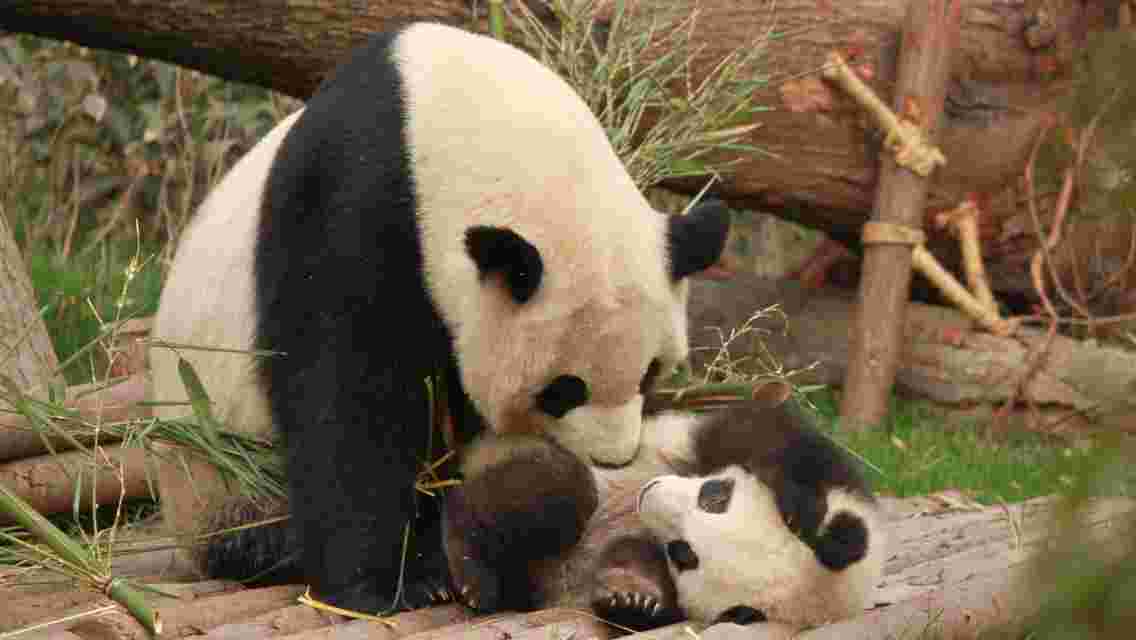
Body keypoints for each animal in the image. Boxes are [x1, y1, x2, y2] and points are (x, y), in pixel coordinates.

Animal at [148, 21, 731, 615]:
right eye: (562, 390)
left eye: (650, 373)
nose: (612, 459)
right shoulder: (353, 207)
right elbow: (347, 398)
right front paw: (387, 585)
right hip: (220, 472)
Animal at [448, 400, 886, 629]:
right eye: (715, 496)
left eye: (683, 553)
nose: (649, 493)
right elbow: (763, 431)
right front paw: (799, 504)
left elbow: (636, 562)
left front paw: (632, 598)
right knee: (556, 494)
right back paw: (469, 567)